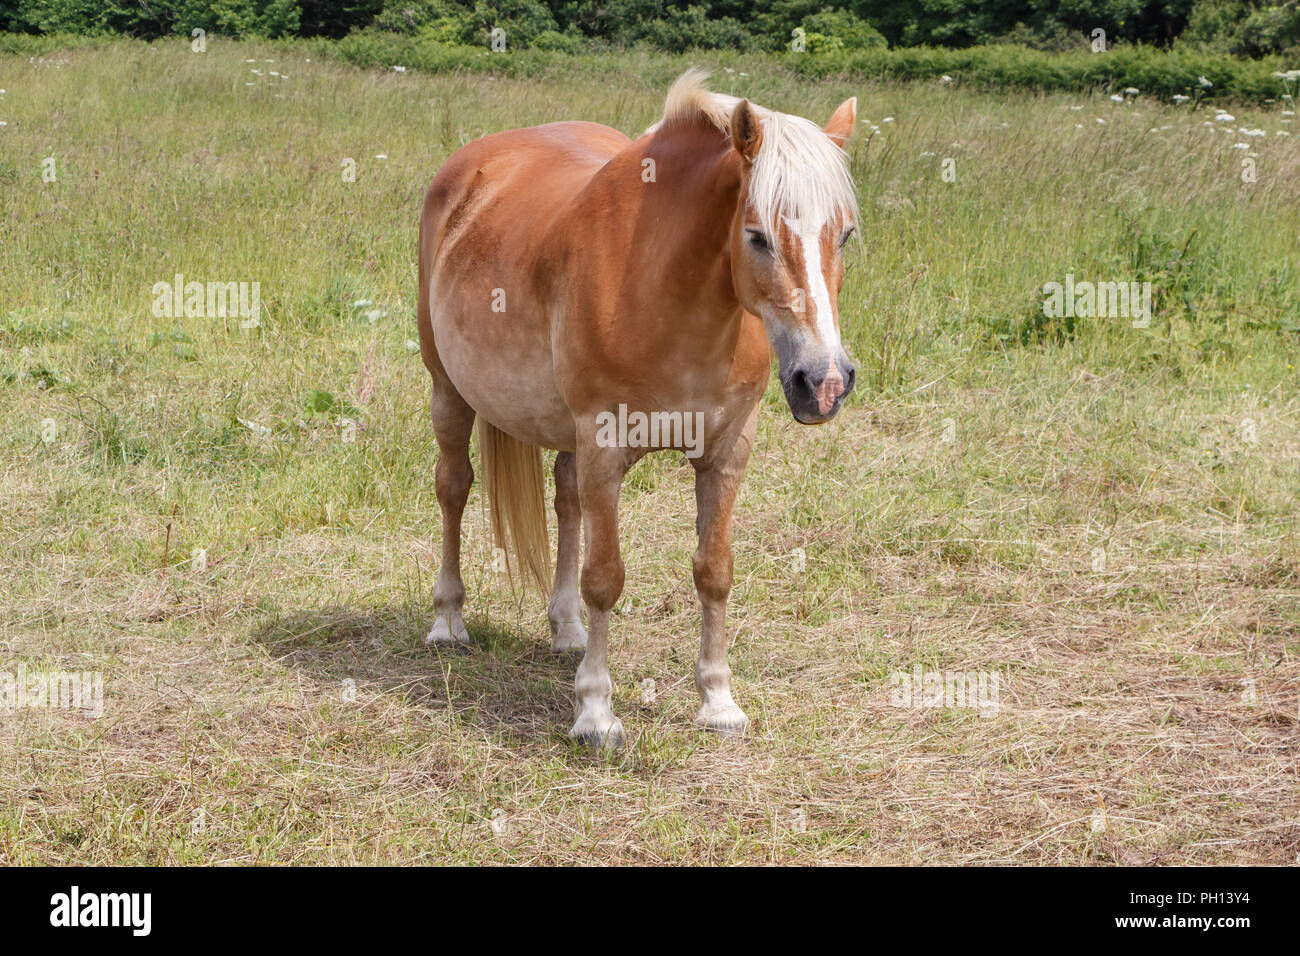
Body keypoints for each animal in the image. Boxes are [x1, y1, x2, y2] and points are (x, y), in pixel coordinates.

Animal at [417, 70, 859, 747]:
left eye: (846, 234)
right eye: (756, 235)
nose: (825, 383)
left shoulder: (727, 450)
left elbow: (714, 570)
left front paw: (719, 702)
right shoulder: (605, 444)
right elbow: (606, 578)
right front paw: (596, 714)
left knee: (566, 500)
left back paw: (567, 631)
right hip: (449, 392)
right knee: (453, 488)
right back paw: (448, 623)